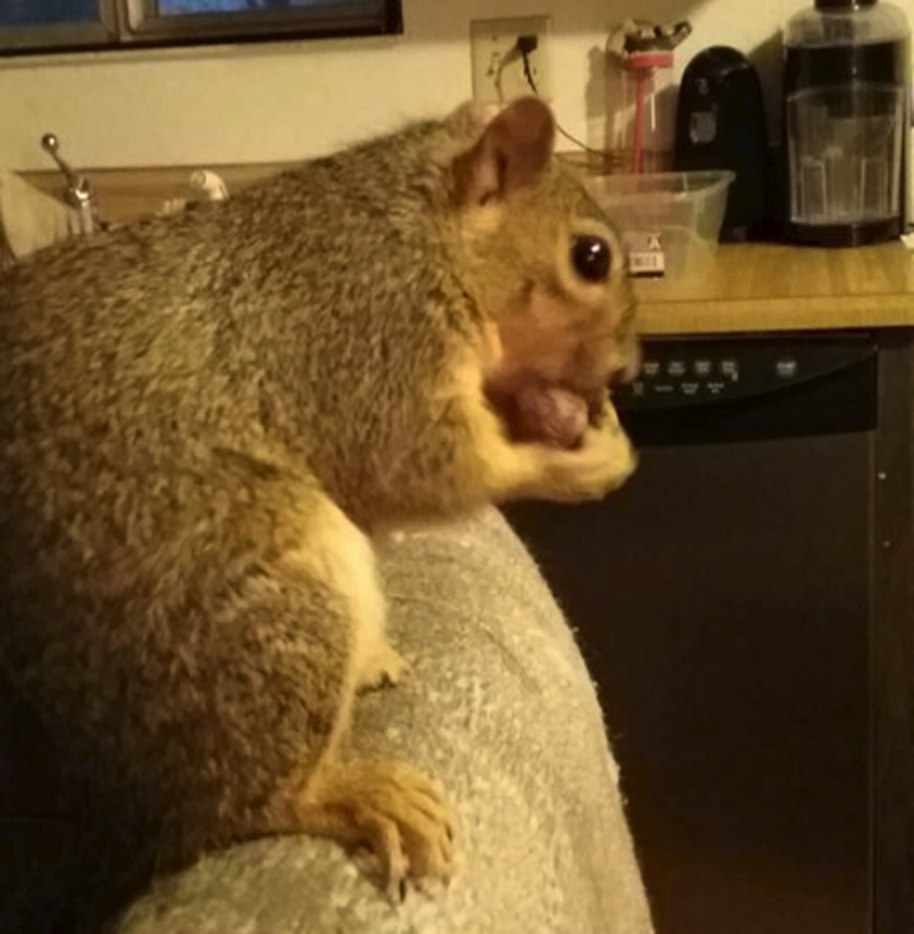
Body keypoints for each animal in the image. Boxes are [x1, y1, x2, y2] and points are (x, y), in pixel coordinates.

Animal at [0, 96, 638, 915]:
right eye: (591, 257)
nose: (627, 369)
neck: (418, 229)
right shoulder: (369, 338)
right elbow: (425, 464)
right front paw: (591, 461)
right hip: (247, 613)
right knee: (239, 805)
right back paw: (357, 794)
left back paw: (370, 661)